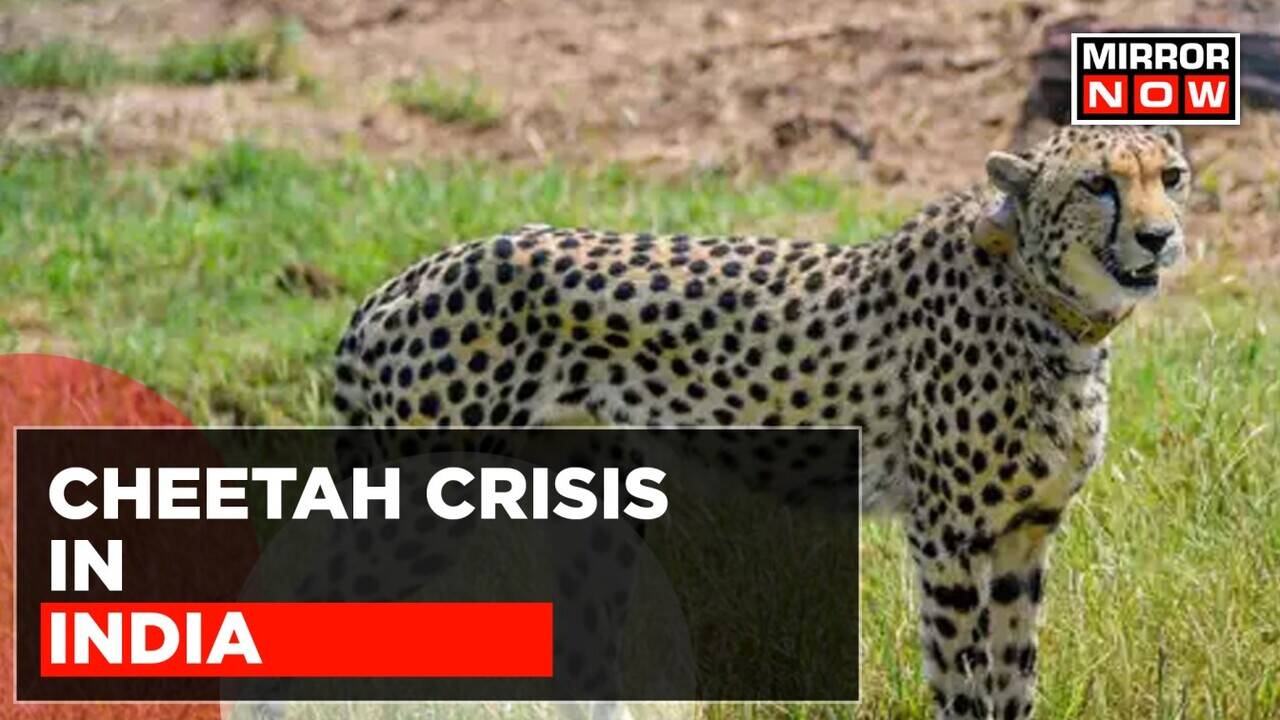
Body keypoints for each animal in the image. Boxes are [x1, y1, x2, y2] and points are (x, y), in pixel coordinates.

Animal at [330, 125, 1191, 719]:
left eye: (1171, 177)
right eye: (1098, 185)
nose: (1159, 236)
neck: (1053, 306)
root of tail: (409, 275)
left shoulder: (1024, 535)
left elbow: (1014, 680)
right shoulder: (948, 534)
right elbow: (964, 681)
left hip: (591, 514)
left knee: (578, 663)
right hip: (426, 499)